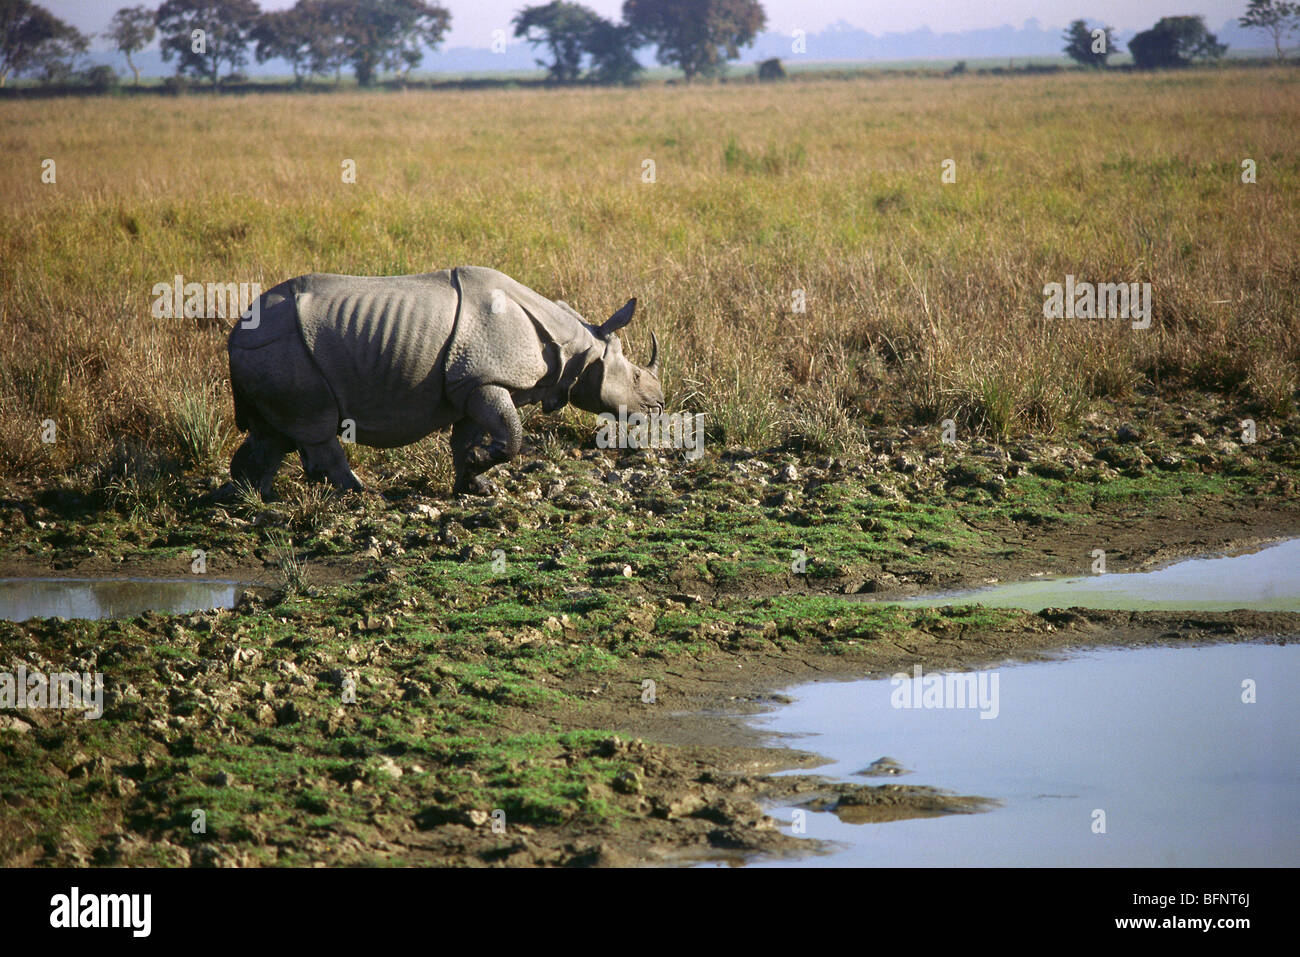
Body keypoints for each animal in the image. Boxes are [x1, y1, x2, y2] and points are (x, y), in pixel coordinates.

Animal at [223, 266, 663, 497]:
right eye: (636, 376)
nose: (657, 408)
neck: (574, 347)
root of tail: (234, 333)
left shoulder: (471, 383)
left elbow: (468, 437)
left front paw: (476, 482)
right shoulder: (484, 378)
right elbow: (512, 435)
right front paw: (479, 468)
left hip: (267, 351)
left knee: (272, 434)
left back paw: (251, 497)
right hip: (285, 347)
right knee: (314, 425)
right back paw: (358, 493)